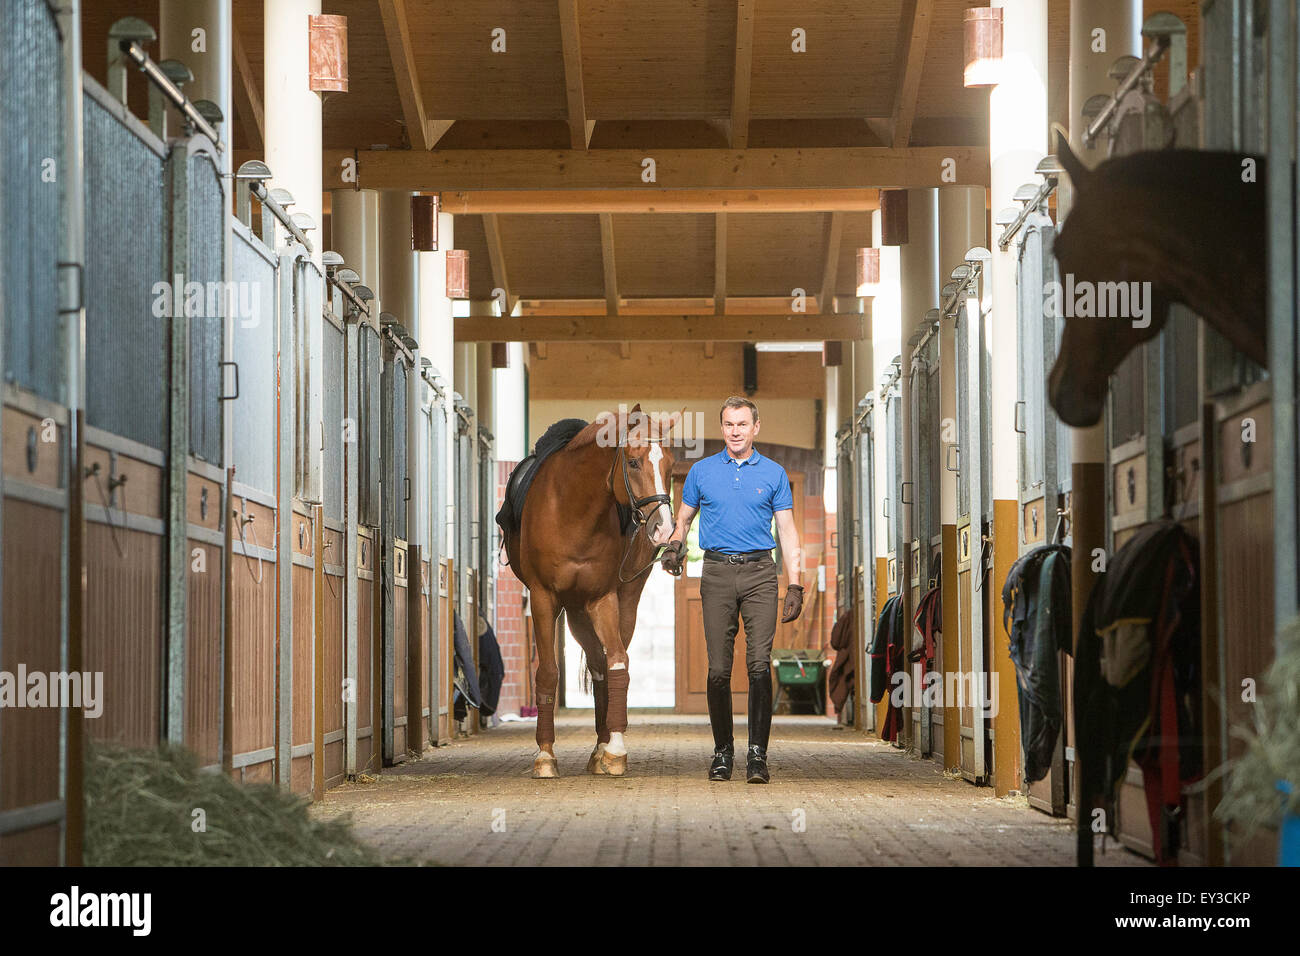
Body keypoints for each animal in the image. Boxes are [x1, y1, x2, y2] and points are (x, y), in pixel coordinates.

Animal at [502, 404, 682, 778]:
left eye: (670, 464)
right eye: (633, 462)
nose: (664, 530)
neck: (573, 511)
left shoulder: (603, 598)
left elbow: (618, 664)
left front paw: (614, 749)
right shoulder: (543, 599)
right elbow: (548, 673)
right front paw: (545, 755)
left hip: (613, 604)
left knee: (604, 666)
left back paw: (601, 747)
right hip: (574, 612)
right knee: (595, 665)